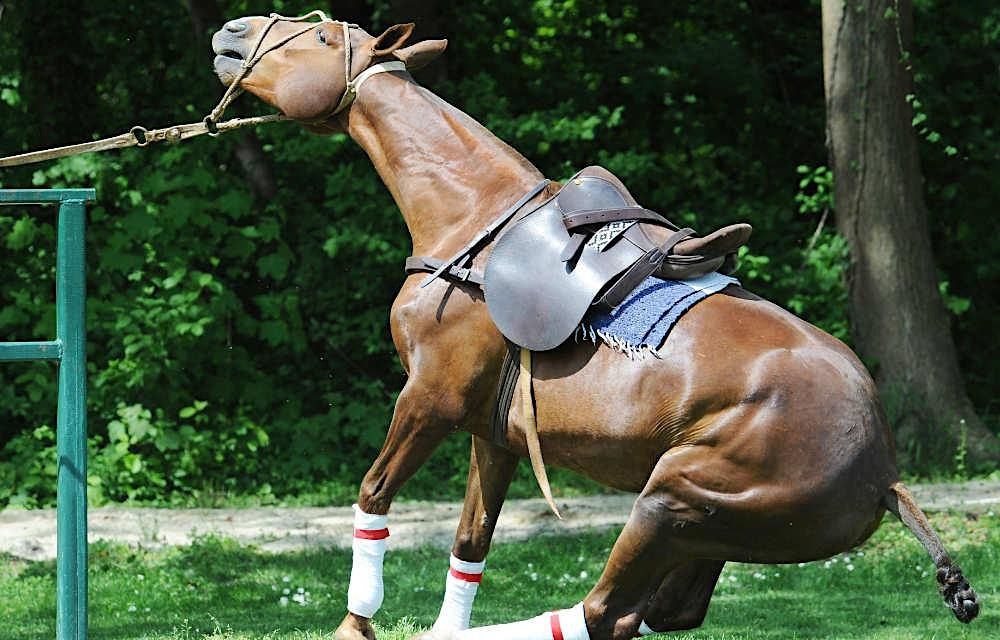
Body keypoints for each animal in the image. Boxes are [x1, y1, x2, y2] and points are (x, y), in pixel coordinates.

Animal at [210, 13, 980, 640]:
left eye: (319, 37)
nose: (231, 32)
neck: (473, 222)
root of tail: (885, 474)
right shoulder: (495, 433)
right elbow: (469, 542)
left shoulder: (430, 398)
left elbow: (374, 495)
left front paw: (358, 623)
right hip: (709, 534)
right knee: (657, 613)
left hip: (673, 500)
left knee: (606, 613)